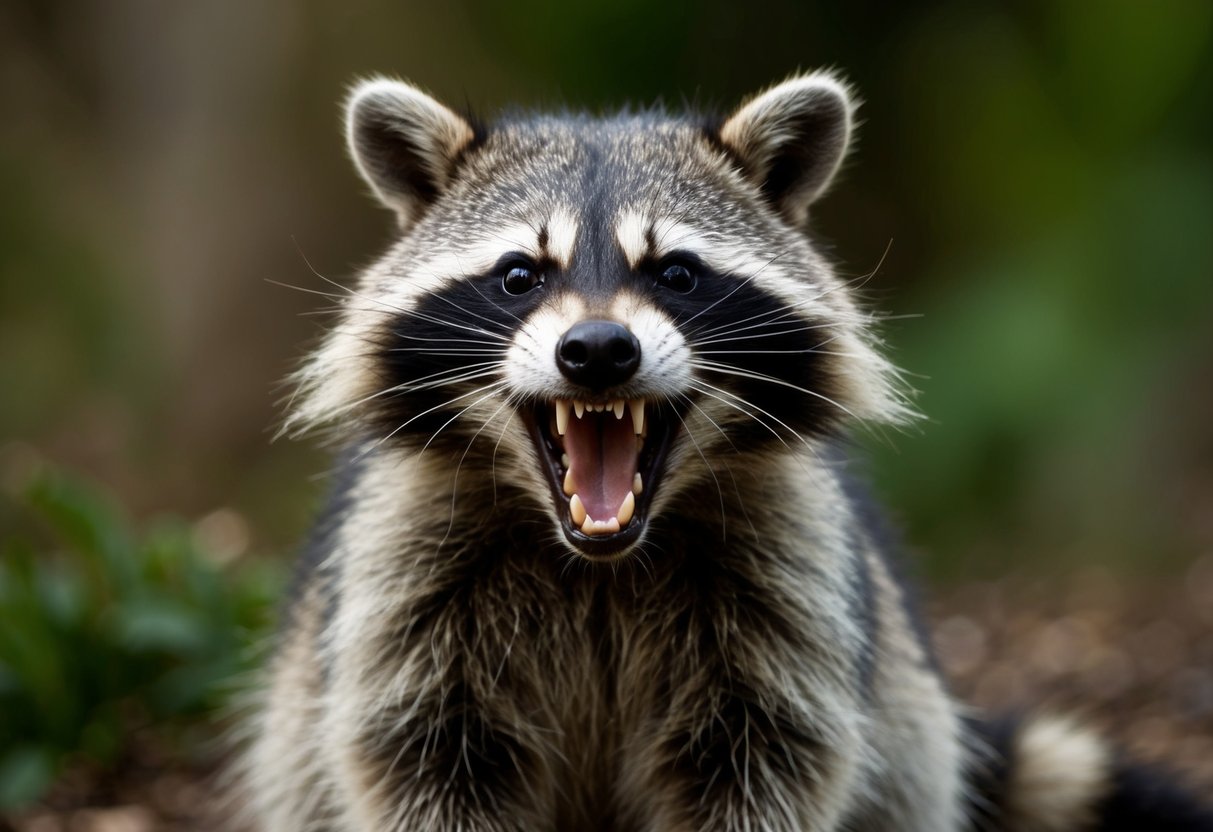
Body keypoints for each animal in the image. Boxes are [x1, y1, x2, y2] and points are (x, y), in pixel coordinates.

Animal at [243, 75, 1213, 831]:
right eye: (520, 275)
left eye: (675, 272)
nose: (598, 350)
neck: (598, 564)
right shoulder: (400, 586)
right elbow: (423, 759)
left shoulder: (792, 584)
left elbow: (764, 764)